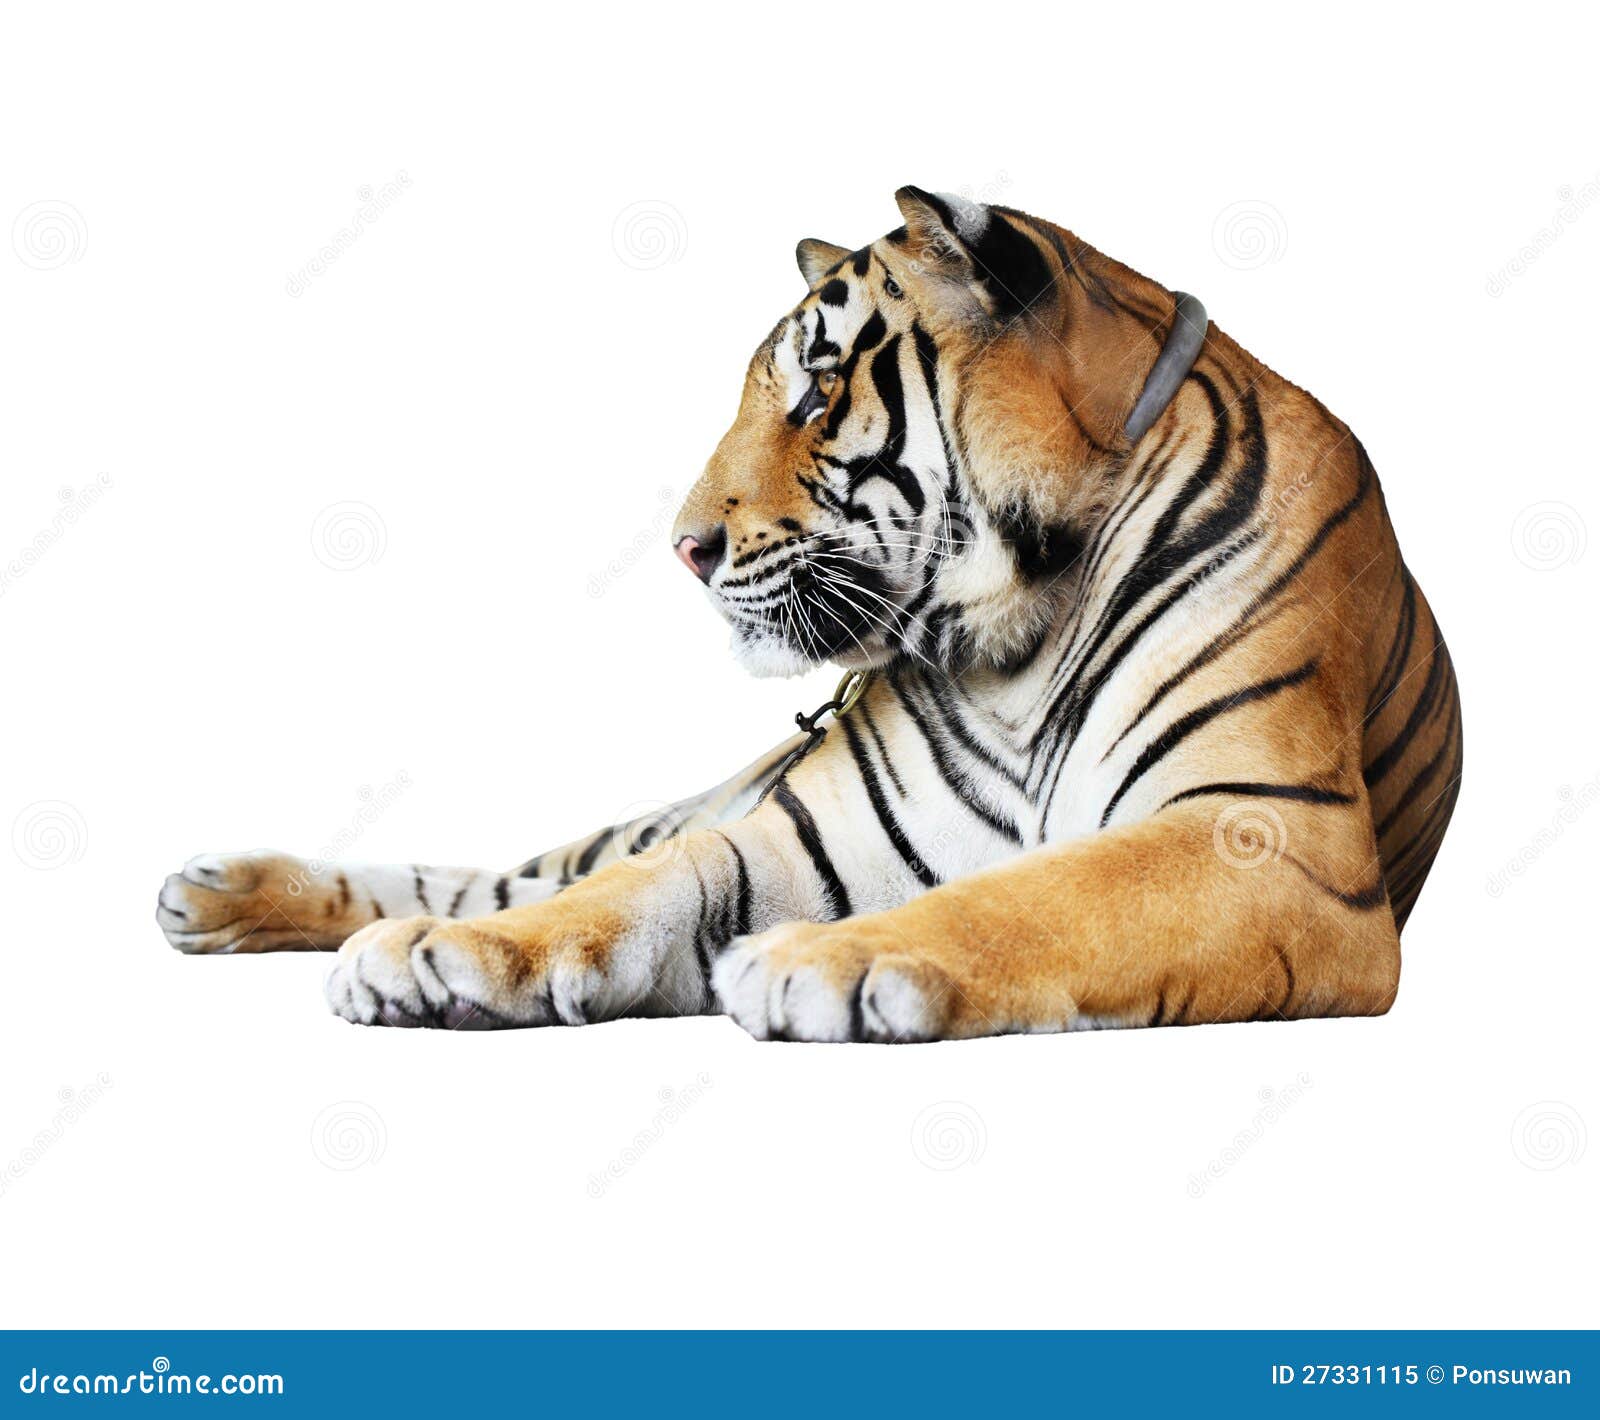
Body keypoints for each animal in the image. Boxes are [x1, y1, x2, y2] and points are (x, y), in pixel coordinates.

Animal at [157, 186, 1463, 1041]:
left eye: (820, 393)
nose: (684, 550)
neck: (1014, 641)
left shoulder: (1265, 834)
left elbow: (1041, 892)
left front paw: (823, 960)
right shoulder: (793, 830)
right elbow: (630, 888)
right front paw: (444, 962)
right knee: (512, 872)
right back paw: (221, 896)